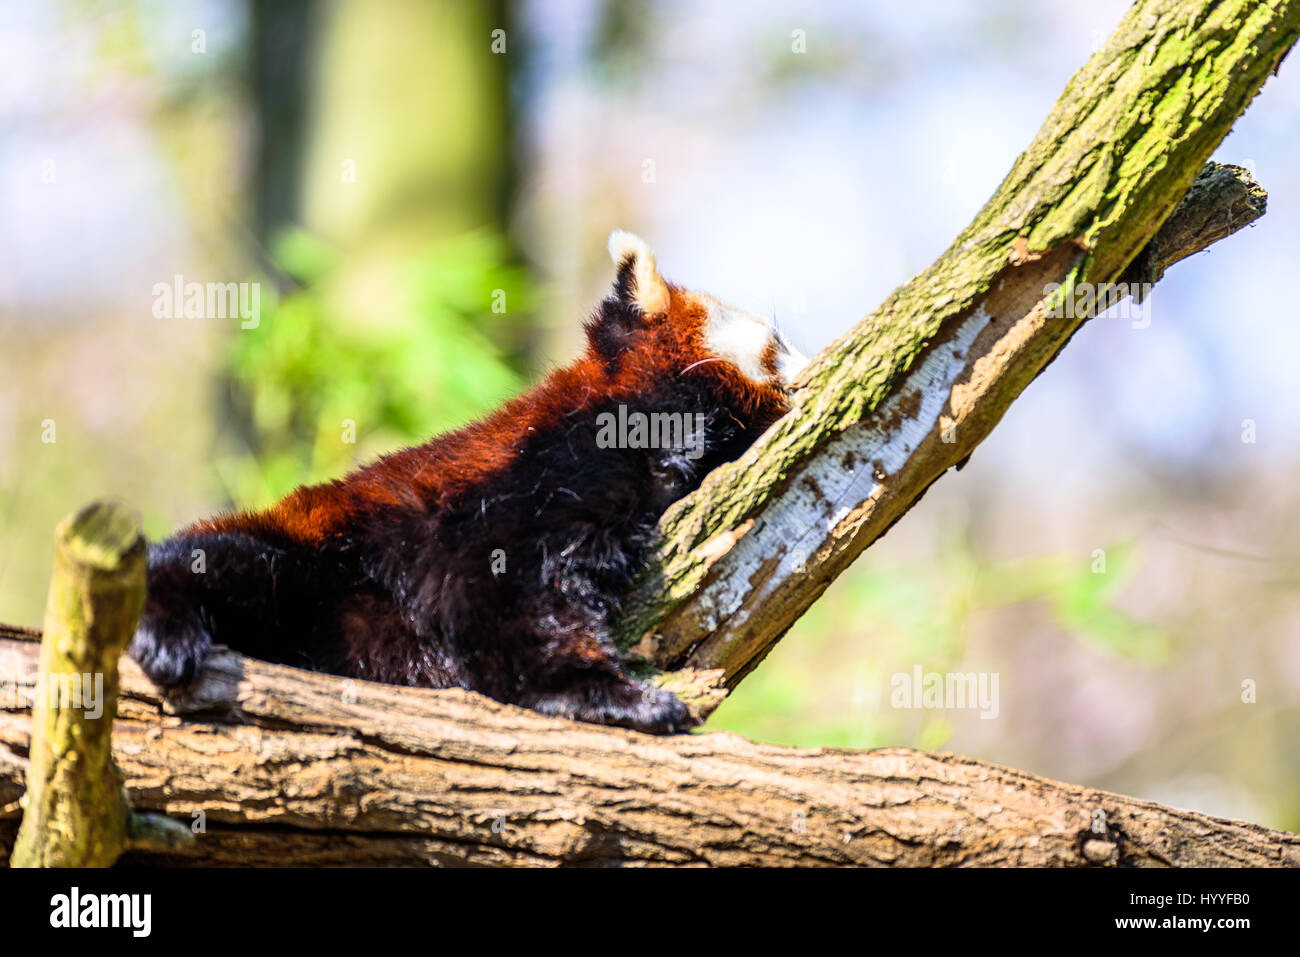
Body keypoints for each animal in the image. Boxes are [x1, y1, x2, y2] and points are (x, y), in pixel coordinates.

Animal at [129, 231, 807, 734]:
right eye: (776, 342)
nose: (808, 354)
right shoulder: (536, 478)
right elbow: (503, 595)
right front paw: (613, 696)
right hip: (316, 560)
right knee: (214, 561)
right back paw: (167, 629)